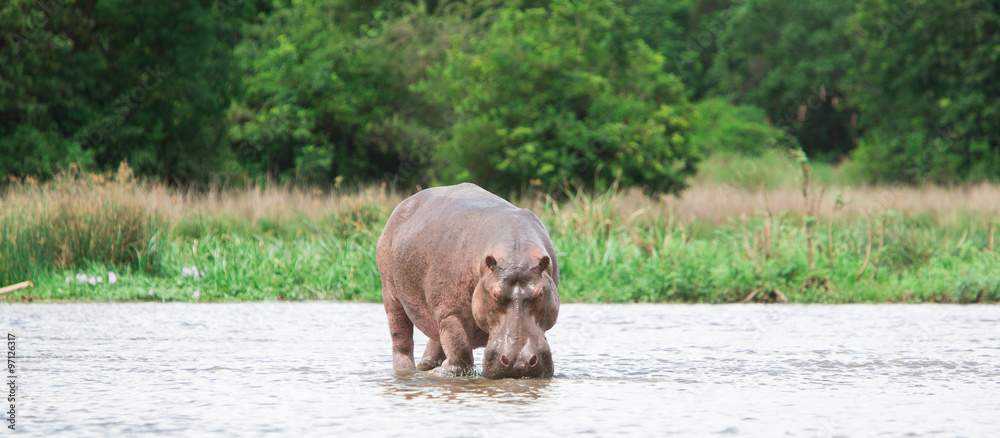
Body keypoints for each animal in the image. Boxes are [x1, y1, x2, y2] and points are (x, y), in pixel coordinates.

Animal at [376, 183, 559, 379]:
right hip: (391, 294)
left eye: (540, 293)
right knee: (401, 339)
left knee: (435, 338)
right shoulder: (450, 312)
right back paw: (406, 371)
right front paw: (447, 372)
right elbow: (459, 347)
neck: (517, 252)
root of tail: (405, 203)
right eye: (495, 294)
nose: (519, 362)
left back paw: (427, 365)